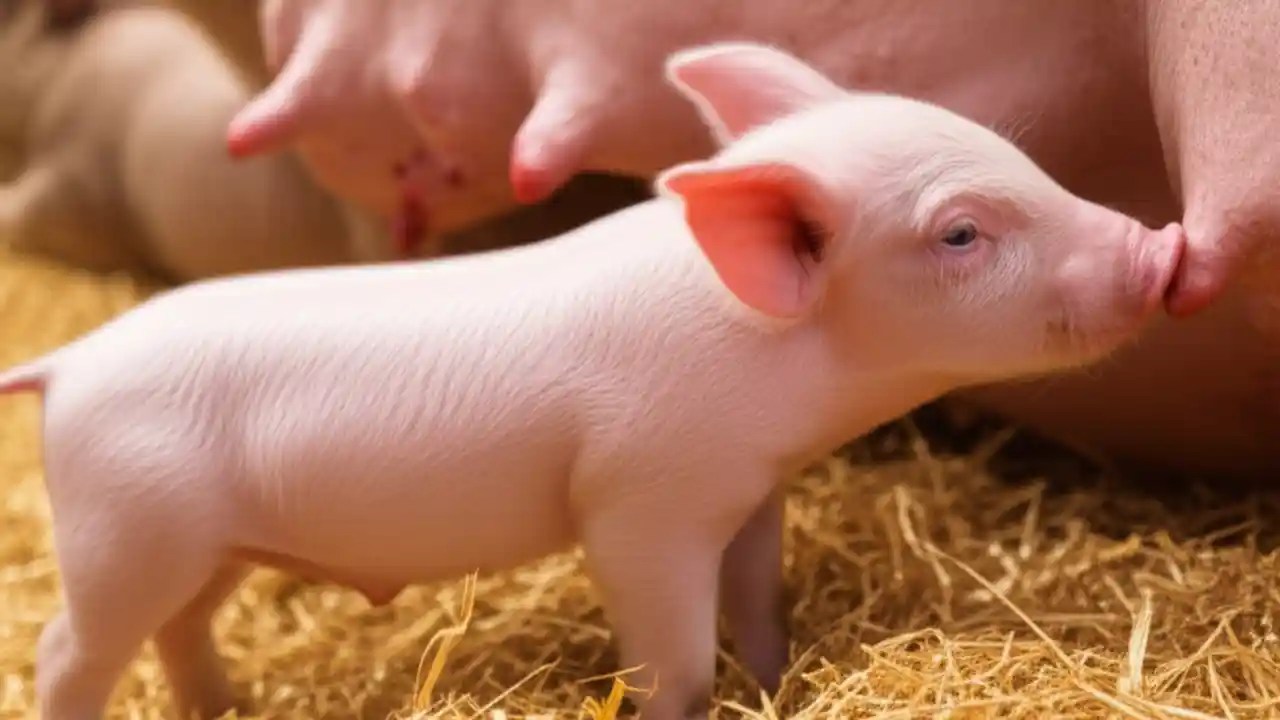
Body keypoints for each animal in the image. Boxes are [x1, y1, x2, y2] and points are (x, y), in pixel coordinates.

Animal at [1, 43, 1186, 719]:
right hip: (125, 530)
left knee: (177, 629)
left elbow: (757, 598)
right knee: (69, 649)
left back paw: (225, 709)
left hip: (200, 547)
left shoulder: (746, 488)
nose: (1161, 247)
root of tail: (68, 364)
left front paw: (777, 684)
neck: (771, 366)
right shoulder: (637, 500)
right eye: (959, 233)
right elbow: (672, 649)